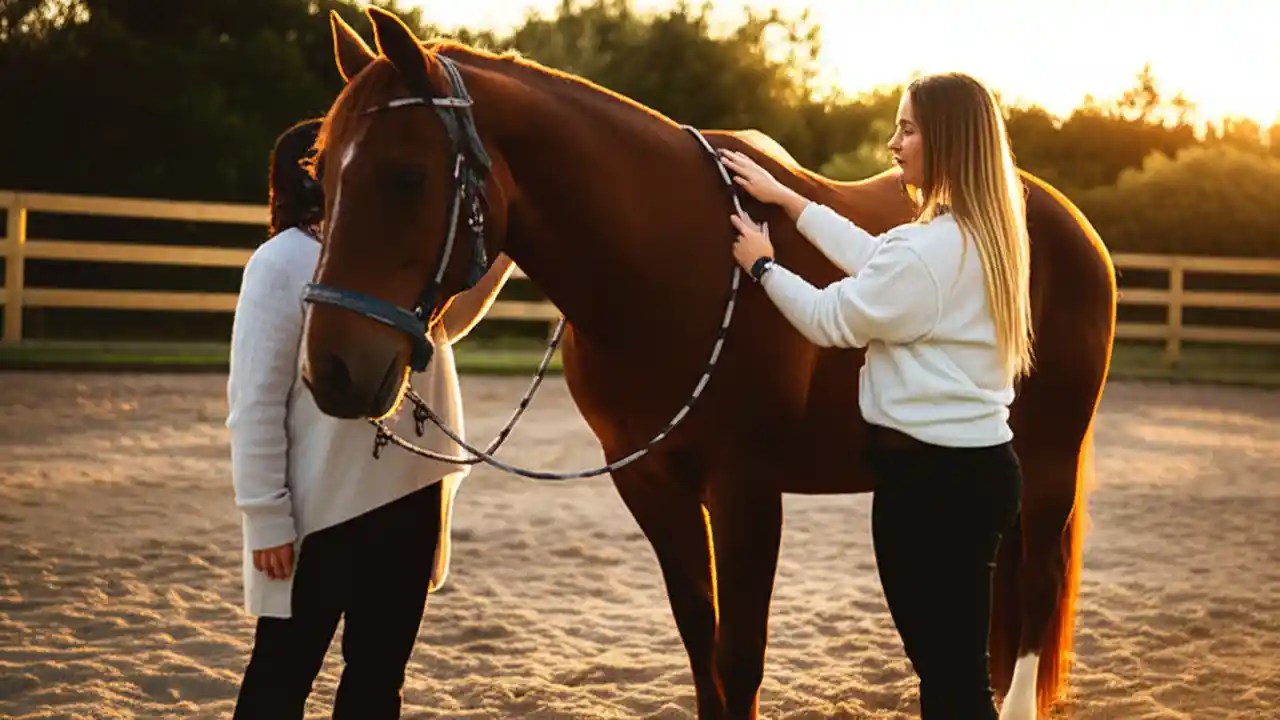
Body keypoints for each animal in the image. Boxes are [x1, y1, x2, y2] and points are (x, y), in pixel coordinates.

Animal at [299, 8, 1116, 719]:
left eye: (406, 176)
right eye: (321, 172)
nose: (332, 369)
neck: (670, 262)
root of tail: (1062, 218)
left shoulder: (746, 487)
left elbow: (739, 654)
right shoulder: (649, 482)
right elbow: (699, 638)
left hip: (1048, 458)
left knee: (1037, 589)